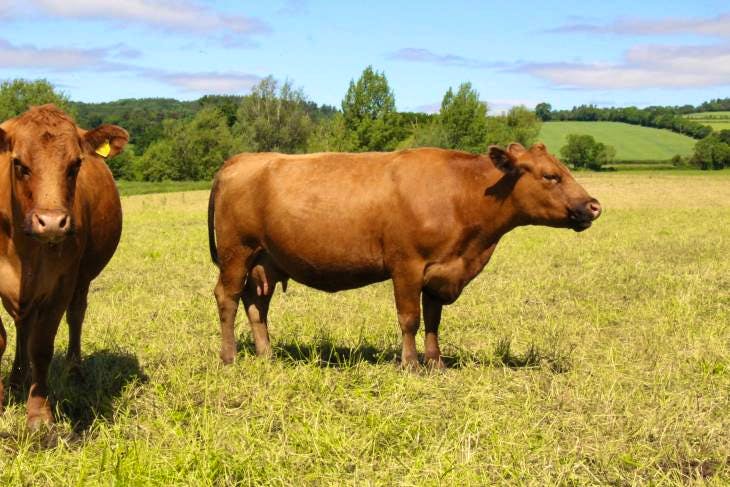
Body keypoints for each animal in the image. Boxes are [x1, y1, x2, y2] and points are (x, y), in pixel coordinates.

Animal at [0, 105, 127, 428]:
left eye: (75, 165)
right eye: (19, 164)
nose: (52, 222)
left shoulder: (61, 283)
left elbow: (42, 346)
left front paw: (39, 414)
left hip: (82, 277)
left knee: (75, 315)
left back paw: (74, 371)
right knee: (23, 325)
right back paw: (18, 379)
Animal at [207, 143, 601, 369]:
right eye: (550, 176)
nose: (594, 206)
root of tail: (240, 159)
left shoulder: (441, 270)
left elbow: (433, 320)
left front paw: (436, 363)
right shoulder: (407, 266)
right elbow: (410, 318)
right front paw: (410, 364)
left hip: (266, 260)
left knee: (256, 304)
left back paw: (267, 355)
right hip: (236, 253)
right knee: (227, 298)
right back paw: (229, 358)